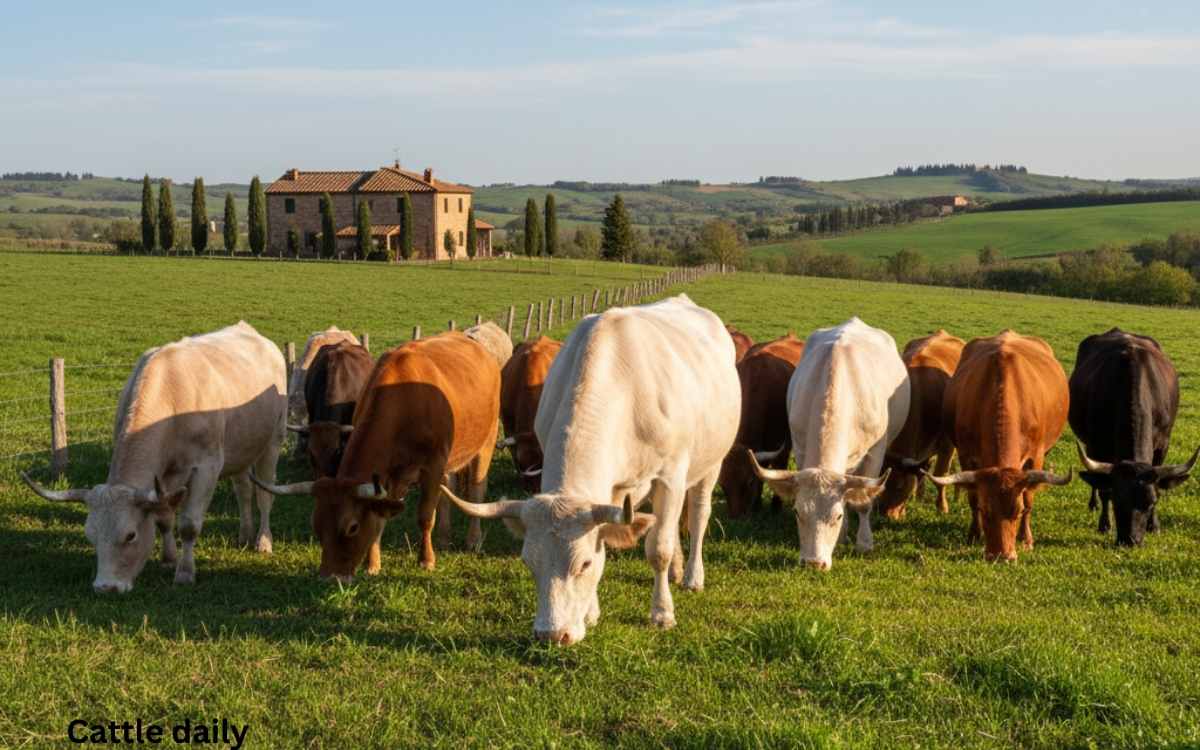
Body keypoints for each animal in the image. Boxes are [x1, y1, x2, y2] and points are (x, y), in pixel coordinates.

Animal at [20, 322, 286, 592]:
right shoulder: (163, 476)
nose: (106, 587)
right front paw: (169, 559)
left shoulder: (207, 468)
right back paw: (246, 535)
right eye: (89, 536)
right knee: (243, 490)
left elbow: (189, 525)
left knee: (265, 494)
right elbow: (164, 519)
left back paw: (263, 541)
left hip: (274, 441)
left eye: (130, 536)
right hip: (241, 450)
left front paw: (185, 573)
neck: (172, 401)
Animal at [718, 333, 805, 519]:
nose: (735, 518)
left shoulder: (783, 445)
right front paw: (757, 505)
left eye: (749, 482)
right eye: (721, 484)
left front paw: (776, 506)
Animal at [747, 317, 909, 570]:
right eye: (797, 512)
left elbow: (863, 502)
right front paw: (842, 537)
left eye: (837, 516)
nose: (814, 563)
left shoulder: (875, 452)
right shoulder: (800, 447)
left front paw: (865, 542)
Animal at [923, 330, 1073, 562]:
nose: (1001, 556)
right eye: (985, 510)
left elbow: (1029, 498)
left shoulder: (1036, 458)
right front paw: (974, 534)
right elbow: (972, 497)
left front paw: (1026, 539)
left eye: (1017, 512)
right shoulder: (967, 456)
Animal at [1068, 328, 1198, 547]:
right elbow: (1103, 488)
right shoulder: (1098, 444)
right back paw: (1093, 504)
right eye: (1116, 499)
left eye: (1152, 501)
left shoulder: (1162, 445)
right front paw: (1105, 525)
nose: (1131, 541)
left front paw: (1154, 525)